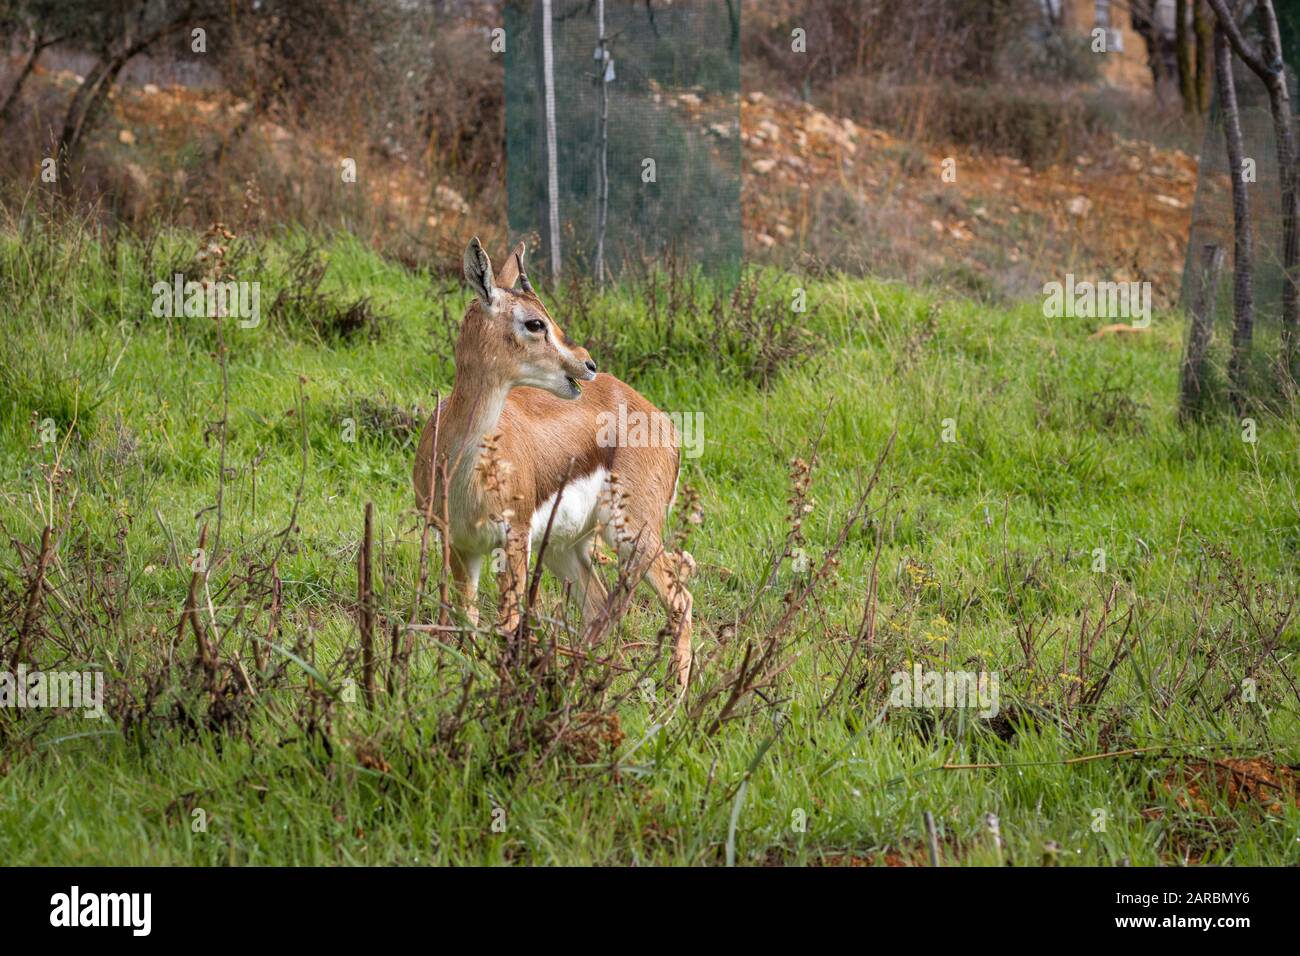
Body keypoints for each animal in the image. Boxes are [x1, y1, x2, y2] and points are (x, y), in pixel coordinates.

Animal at [413, 238, 694, 685]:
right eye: (534, 323)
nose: (587, 364)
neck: (465, 471)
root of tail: (663, 423)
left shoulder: (513, 540)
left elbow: (510, 625)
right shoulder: (460, 544)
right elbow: (465, 622)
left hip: (633, 533)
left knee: (680, 596)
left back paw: (674, 693)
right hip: (566, 547)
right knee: (599, 606)